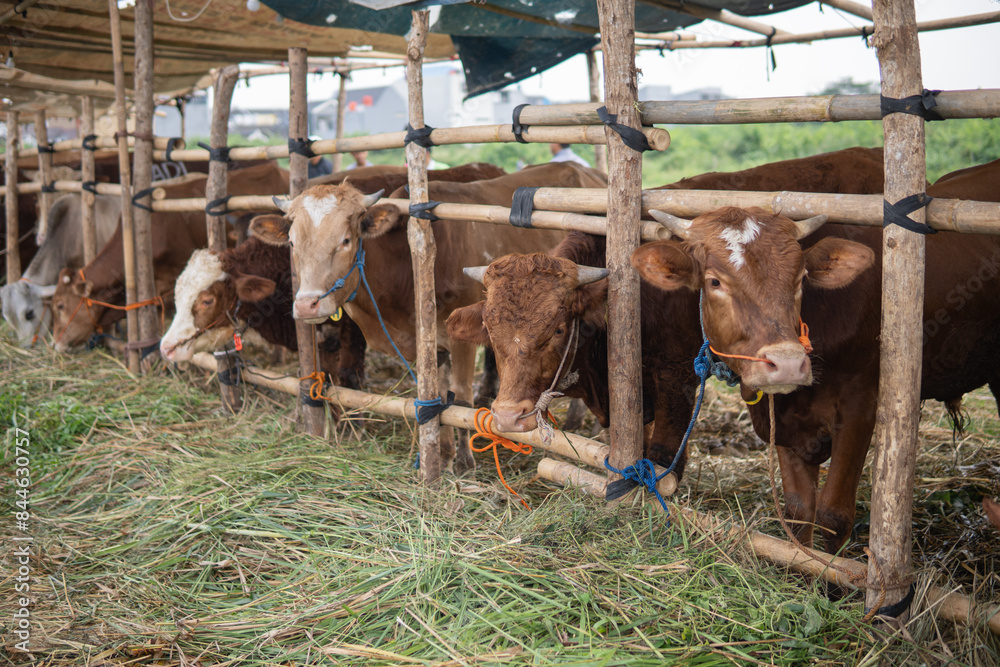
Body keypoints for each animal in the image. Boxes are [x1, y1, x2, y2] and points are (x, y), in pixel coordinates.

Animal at [250, 161, 608, 473]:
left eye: (346, 240)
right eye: (292, 243)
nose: (307, 305)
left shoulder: (461, 340)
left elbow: (461, 397)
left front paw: (464, 462)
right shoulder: (432, 346)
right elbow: (438, 396)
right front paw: (444, 454)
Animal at [630, 159, 1000, 554]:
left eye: (800, 278)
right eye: (714, 282)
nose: (788, 364)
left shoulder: (859, 409)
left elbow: (833, 515)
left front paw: (830, 572)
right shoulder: (781, 423)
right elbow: (798, 511)